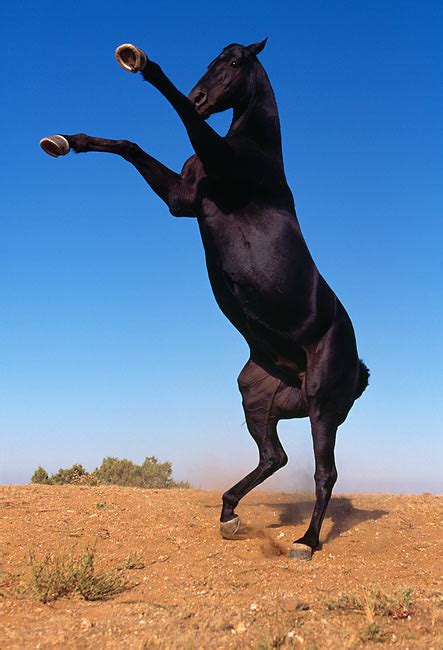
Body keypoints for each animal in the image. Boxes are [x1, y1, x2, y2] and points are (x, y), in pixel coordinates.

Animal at [40, 39, 369, 560]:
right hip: (257, 397)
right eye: (213, 58)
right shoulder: (182, 199)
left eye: (233, 63)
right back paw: (229, 514)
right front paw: (63, 141)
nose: (200, 99)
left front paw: (140, 62)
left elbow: (171, 106)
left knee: (324, 472)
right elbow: (130, 146)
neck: (255, 151)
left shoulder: (212, 169)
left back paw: (306, 542)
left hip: (322, 403)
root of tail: (359, 367)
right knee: (275, 456)